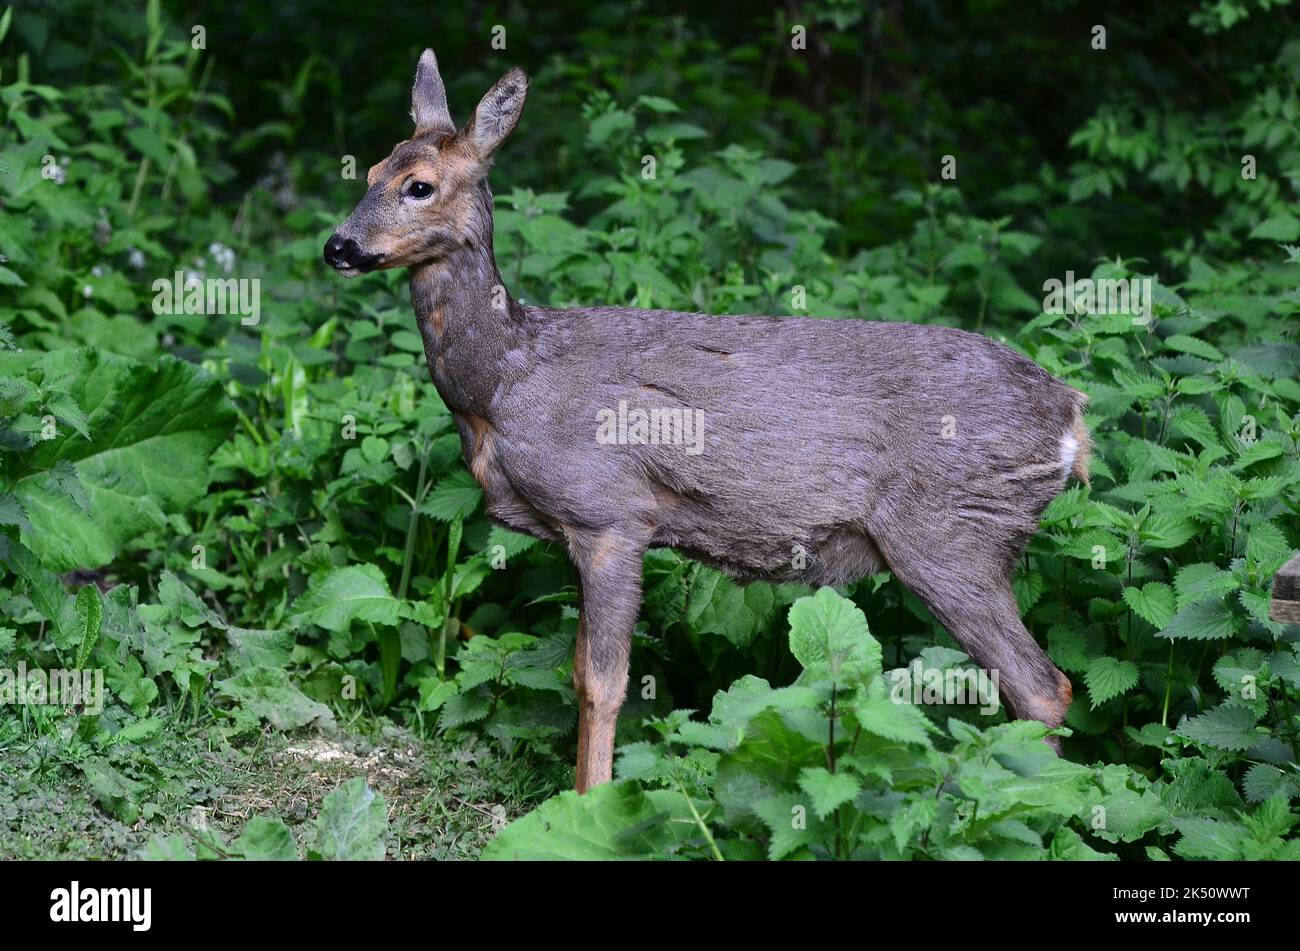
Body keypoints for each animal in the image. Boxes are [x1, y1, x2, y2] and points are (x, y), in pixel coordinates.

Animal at [325, 50, 1091, 793]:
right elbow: (581, 671)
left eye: (419, 185)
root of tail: (1071, 419)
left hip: (952, 534)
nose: (338, 246)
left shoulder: (611, 513)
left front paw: (589, 803)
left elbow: (602, 683)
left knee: (1044, 686)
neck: (504, 382)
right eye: (369, 171)